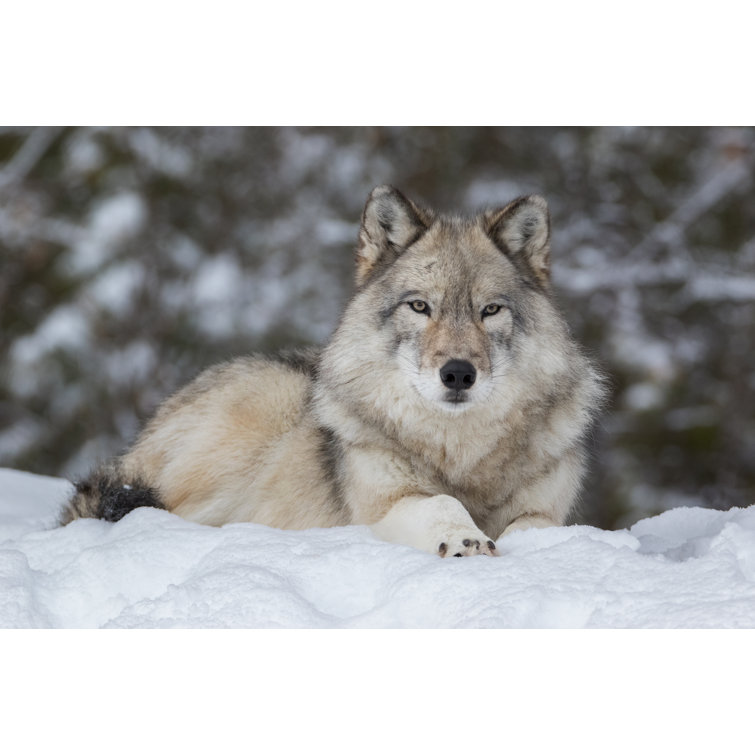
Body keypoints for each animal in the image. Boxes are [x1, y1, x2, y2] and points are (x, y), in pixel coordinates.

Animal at [61, 185, 605, 557]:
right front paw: (464, 539)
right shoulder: (385, 504)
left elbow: (539, 527)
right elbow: (441, 504)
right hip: (264, 411)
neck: (461, 454)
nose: (457, 374)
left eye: (489, 311)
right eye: (420, 307)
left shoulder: (545, 510)